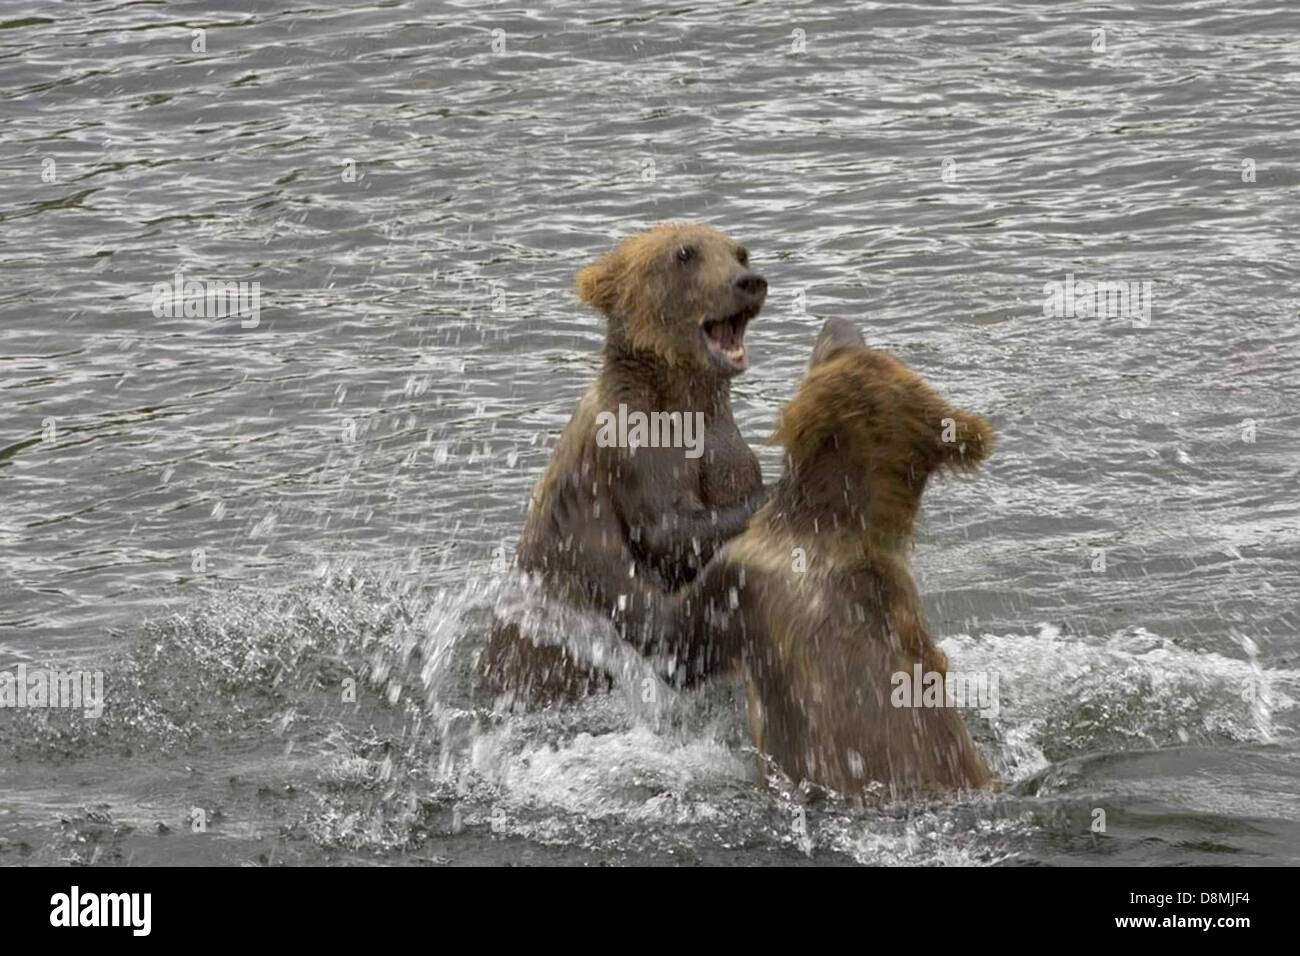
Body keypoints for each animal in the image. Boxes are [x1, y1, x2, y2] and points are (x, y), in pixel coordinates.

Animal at [479, 223, 770, 706]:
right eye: (684, 254)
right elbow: (667, 532)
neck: (683, 401)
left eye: (740, 252)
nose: (749, 282)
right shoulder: (631, 453)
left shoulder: (724, 450)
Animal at [562, 317, 996, 799]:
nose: (838, 321)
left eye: (835, 352)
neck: (833, 525)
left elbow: (670, 640)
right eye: (861, 347)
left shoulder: (743, 583)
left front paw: (583, 522)